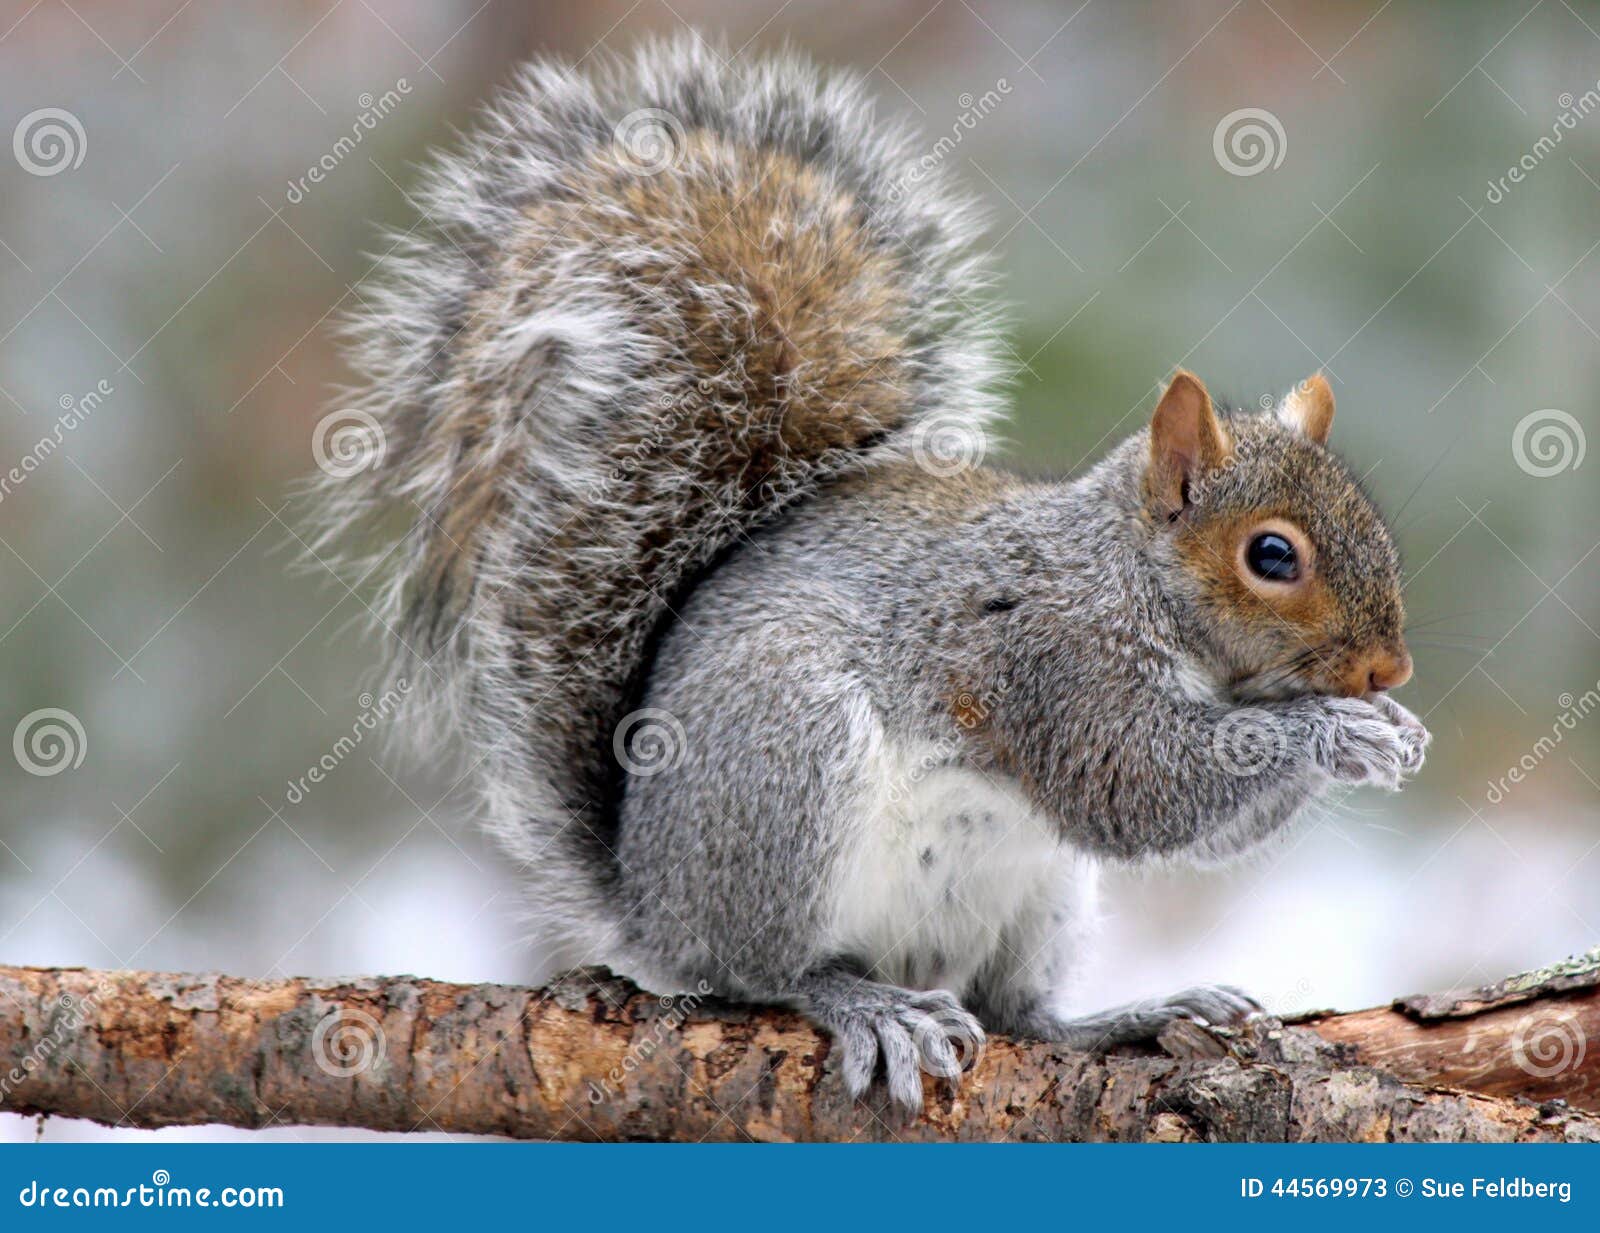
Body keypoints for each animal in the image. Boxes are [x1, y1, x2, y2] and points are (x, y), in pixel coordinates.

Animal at [320, 35, 1429, 1111]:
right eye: (1271, 555)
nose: (1389, 671)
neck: (1124, 577)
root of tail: (646, 901)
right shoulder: (1049, 663)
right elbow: (1137, 788)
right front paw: (1335, 730)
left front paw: (1393, 731)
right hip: (785, 763)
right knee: (761, 971)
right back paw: (864, 1003)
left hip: (1043, 896)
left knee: (1021, 1014)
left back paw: (1130, 1015)